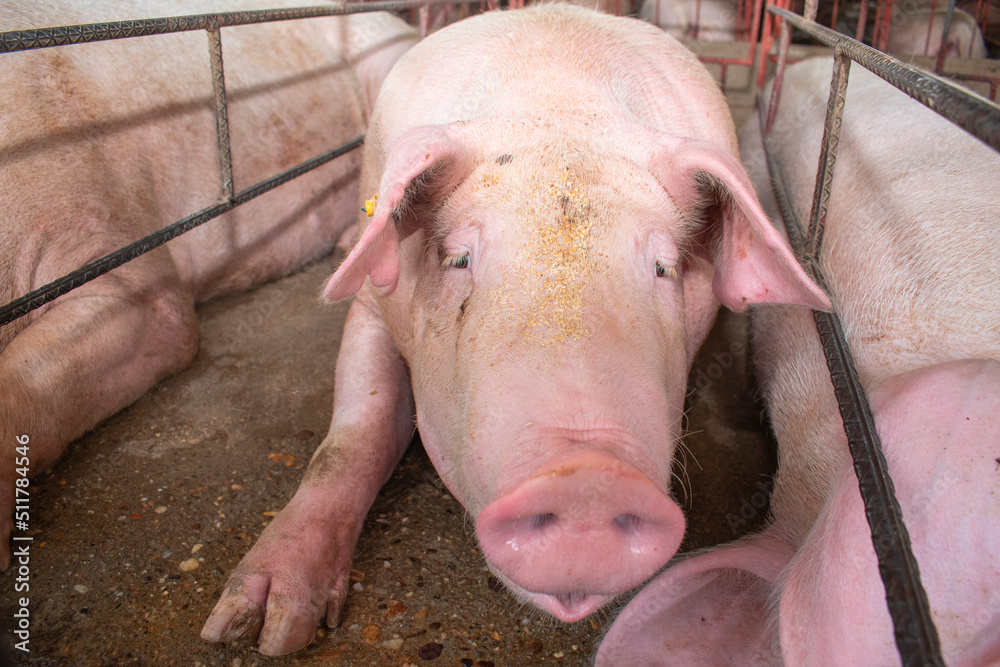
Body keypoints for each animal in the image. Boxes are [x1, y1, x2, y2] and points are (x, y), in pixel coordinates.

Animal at [200, 3, 829, 657]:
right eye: (459, 258)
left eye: (664, 267)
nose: (587, 479)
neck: (558, 105)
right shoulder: (372, 306)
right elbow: (353, 435)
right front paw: (256, 631)